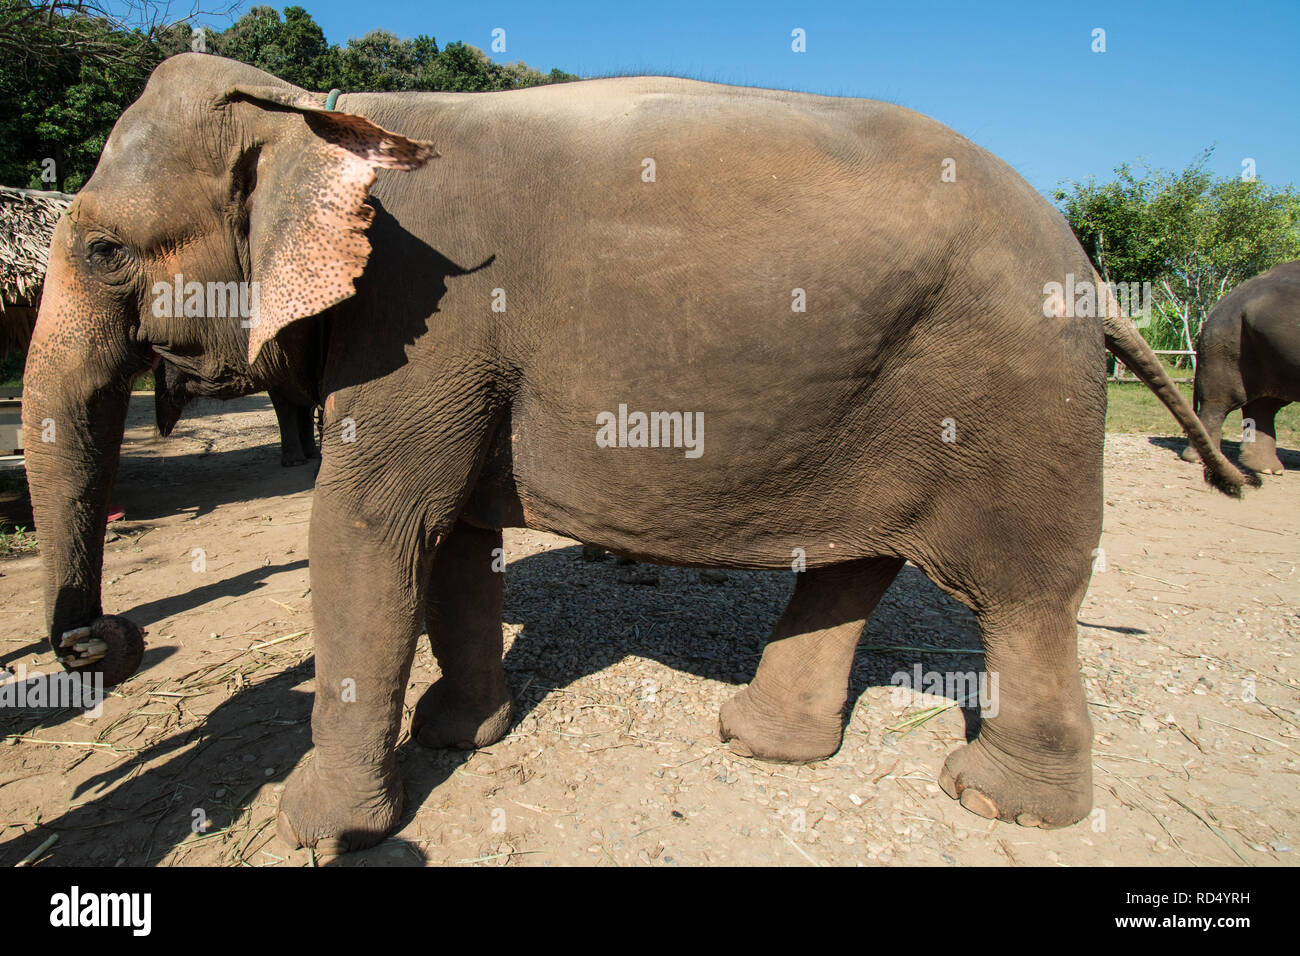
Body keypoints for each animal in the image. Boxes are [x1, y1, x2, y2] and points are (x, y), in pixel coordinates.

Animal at [22, 53, 1254, 853]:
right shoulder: (450, 342)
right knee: (855, 558)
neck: (322, 118)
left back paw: (997, 803)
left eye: (106, 249)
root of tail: (1089, 267)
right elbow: (450, 535)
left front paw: (319, 827)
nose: (104, 643)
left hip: (1010, 389)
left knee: (1024, 593)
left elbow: (369, 531)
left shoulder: (422, 316)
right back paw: (759, 740)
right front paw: (459, 733)